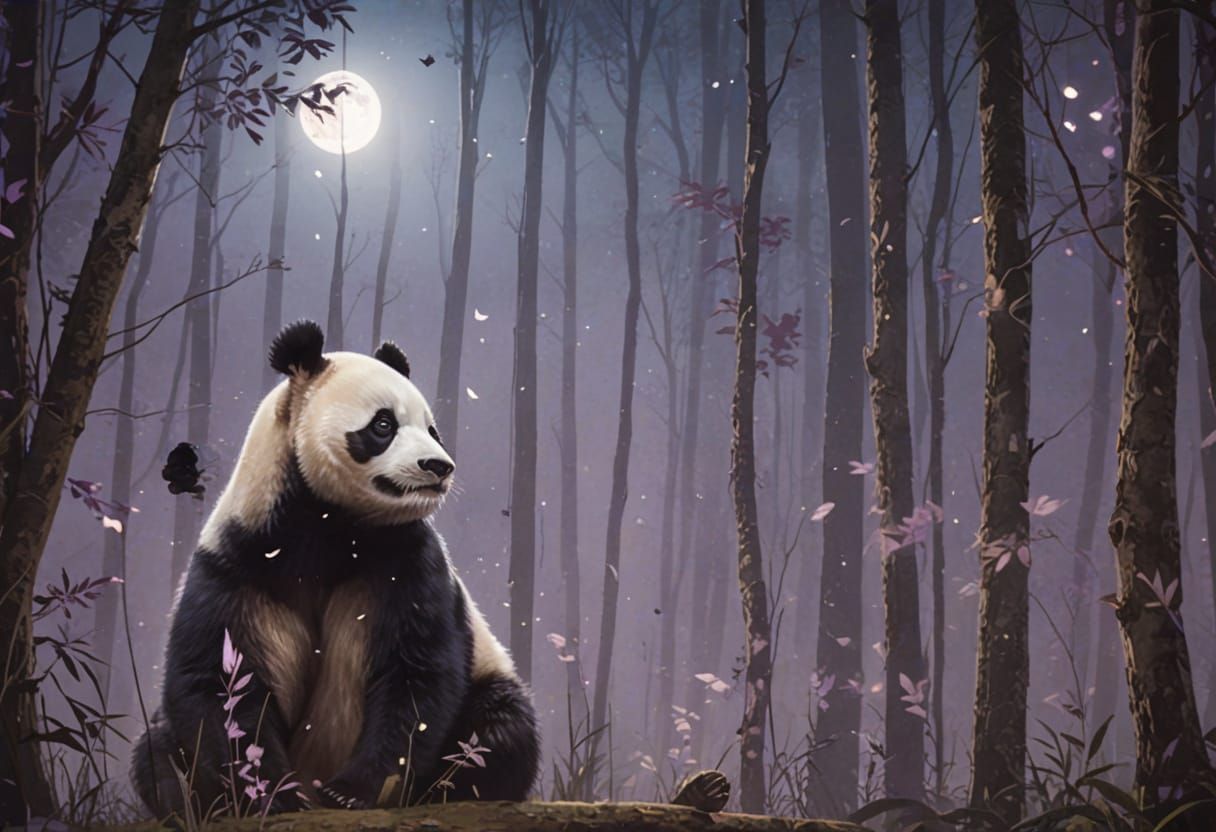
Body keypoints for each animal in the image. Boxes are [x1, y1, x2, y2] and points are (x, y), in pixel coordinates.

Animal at [131, 321, 539, 815]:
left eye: (432, 429)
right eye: (383, 424)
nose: (438, 466)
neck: (329, 523)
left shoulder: (408, 561)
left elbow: (415, 675)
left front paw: (351, 793)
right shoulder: (238, 565)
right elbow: (221, 683)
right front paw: (274, 796)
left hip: (487, 674)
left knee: (500, 727)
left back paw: (445, 791)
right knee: (156, 753)